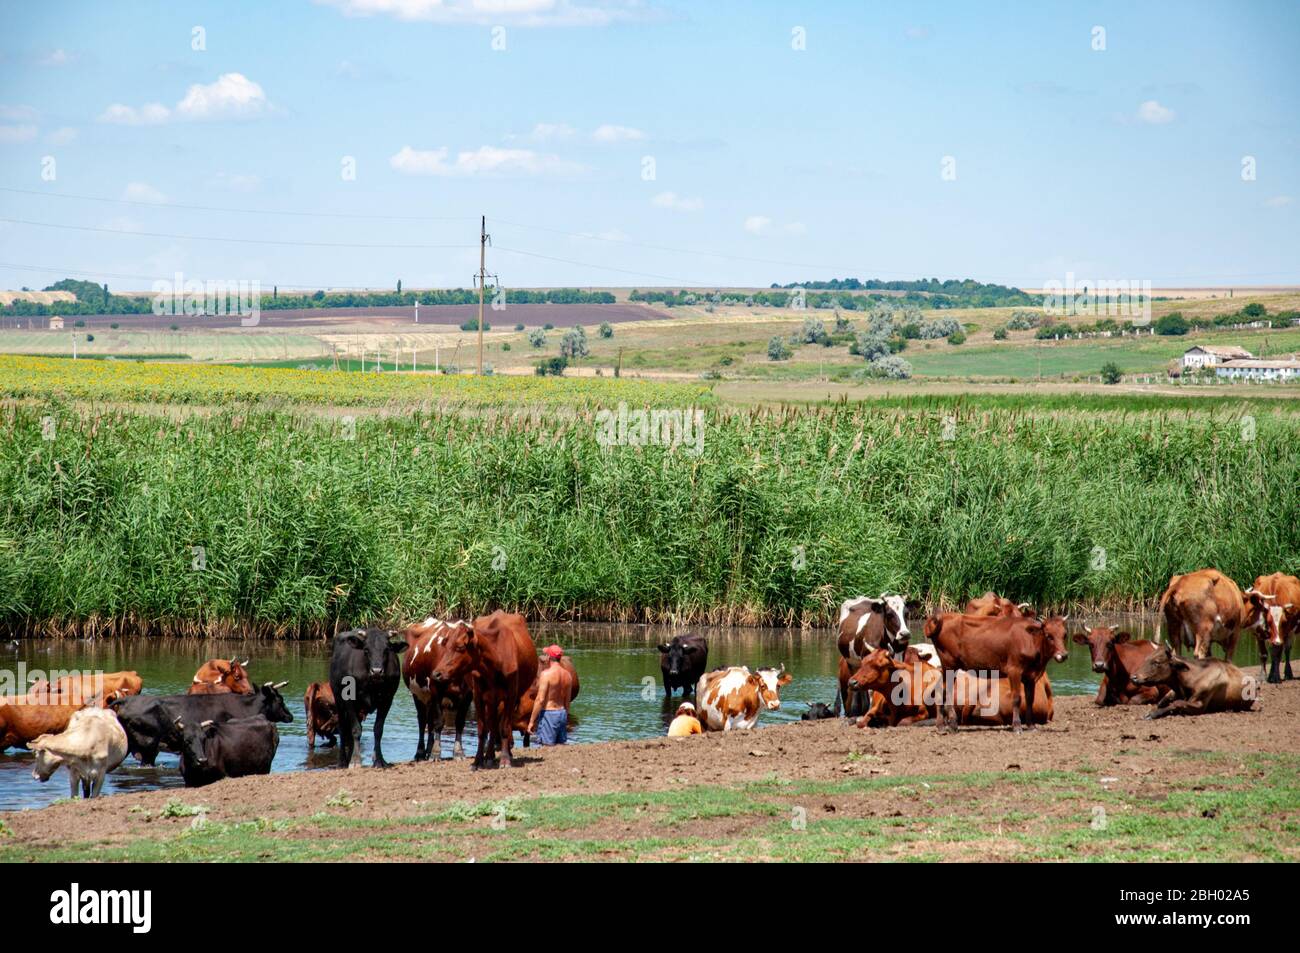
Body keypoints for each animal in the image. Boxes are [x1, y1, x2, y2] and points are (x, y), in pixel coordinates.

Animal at [329, 627, 406, 769]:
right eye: (366, 650)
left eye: (386, 649)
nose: (376, 671)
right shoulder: (349, 700)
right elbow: (356, 729)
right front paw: (355, 761)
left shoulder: (387, 699)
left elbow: (378, 729)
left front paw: (379, 760)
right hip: (338, 698)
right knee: (343, 728)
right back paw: (342, 761)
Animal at [400, 618, 475, 761]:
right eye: (446, 645)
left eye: (462, 646)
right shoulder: (435, 691)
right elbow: (439, 722)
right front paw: (436, 753)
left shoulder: (468, 695)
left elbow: (459, 722)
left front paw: (458, 752)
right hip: (418, 693)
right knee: (422, 721)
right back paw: (420, 752)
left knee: (430, 722)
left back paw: (428, 749)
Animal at [430, 611, 537, 769]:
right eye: (446, 645)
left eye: (460, 647)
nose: (437, 673)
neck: (495, 661)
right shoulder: (478, 695)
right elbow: (482, 729)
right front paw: (478, 760)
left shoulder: (511, 695)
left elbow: (505, 727)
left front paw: (505, 759)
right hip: (491, 699)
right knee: (491, 724)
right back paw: (490, 755)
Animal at [929, 612, 1069, 733]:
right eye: (1049, 635)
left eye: (1064, 635)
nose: (1063, 655)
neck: (1030, 639)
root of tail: (945, 616)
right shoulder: (1014, 670)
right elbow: (1017, 698)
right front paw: (1017, 726)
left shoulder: (1030, 675)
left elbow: (1030, 699)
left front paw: (1031, 725)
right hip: (950, 665)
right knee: (947, 692)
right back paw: (953, 724)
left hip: (947, 668)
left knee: (939, 689)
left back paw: (941, 726)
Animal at [1131, 644, 1259, 718]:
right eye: (1146, 658)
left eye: (1156, 662)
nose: (1134, 677)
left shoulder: (1199, 705)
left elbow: (1177, 703)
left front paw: (1153, 713)